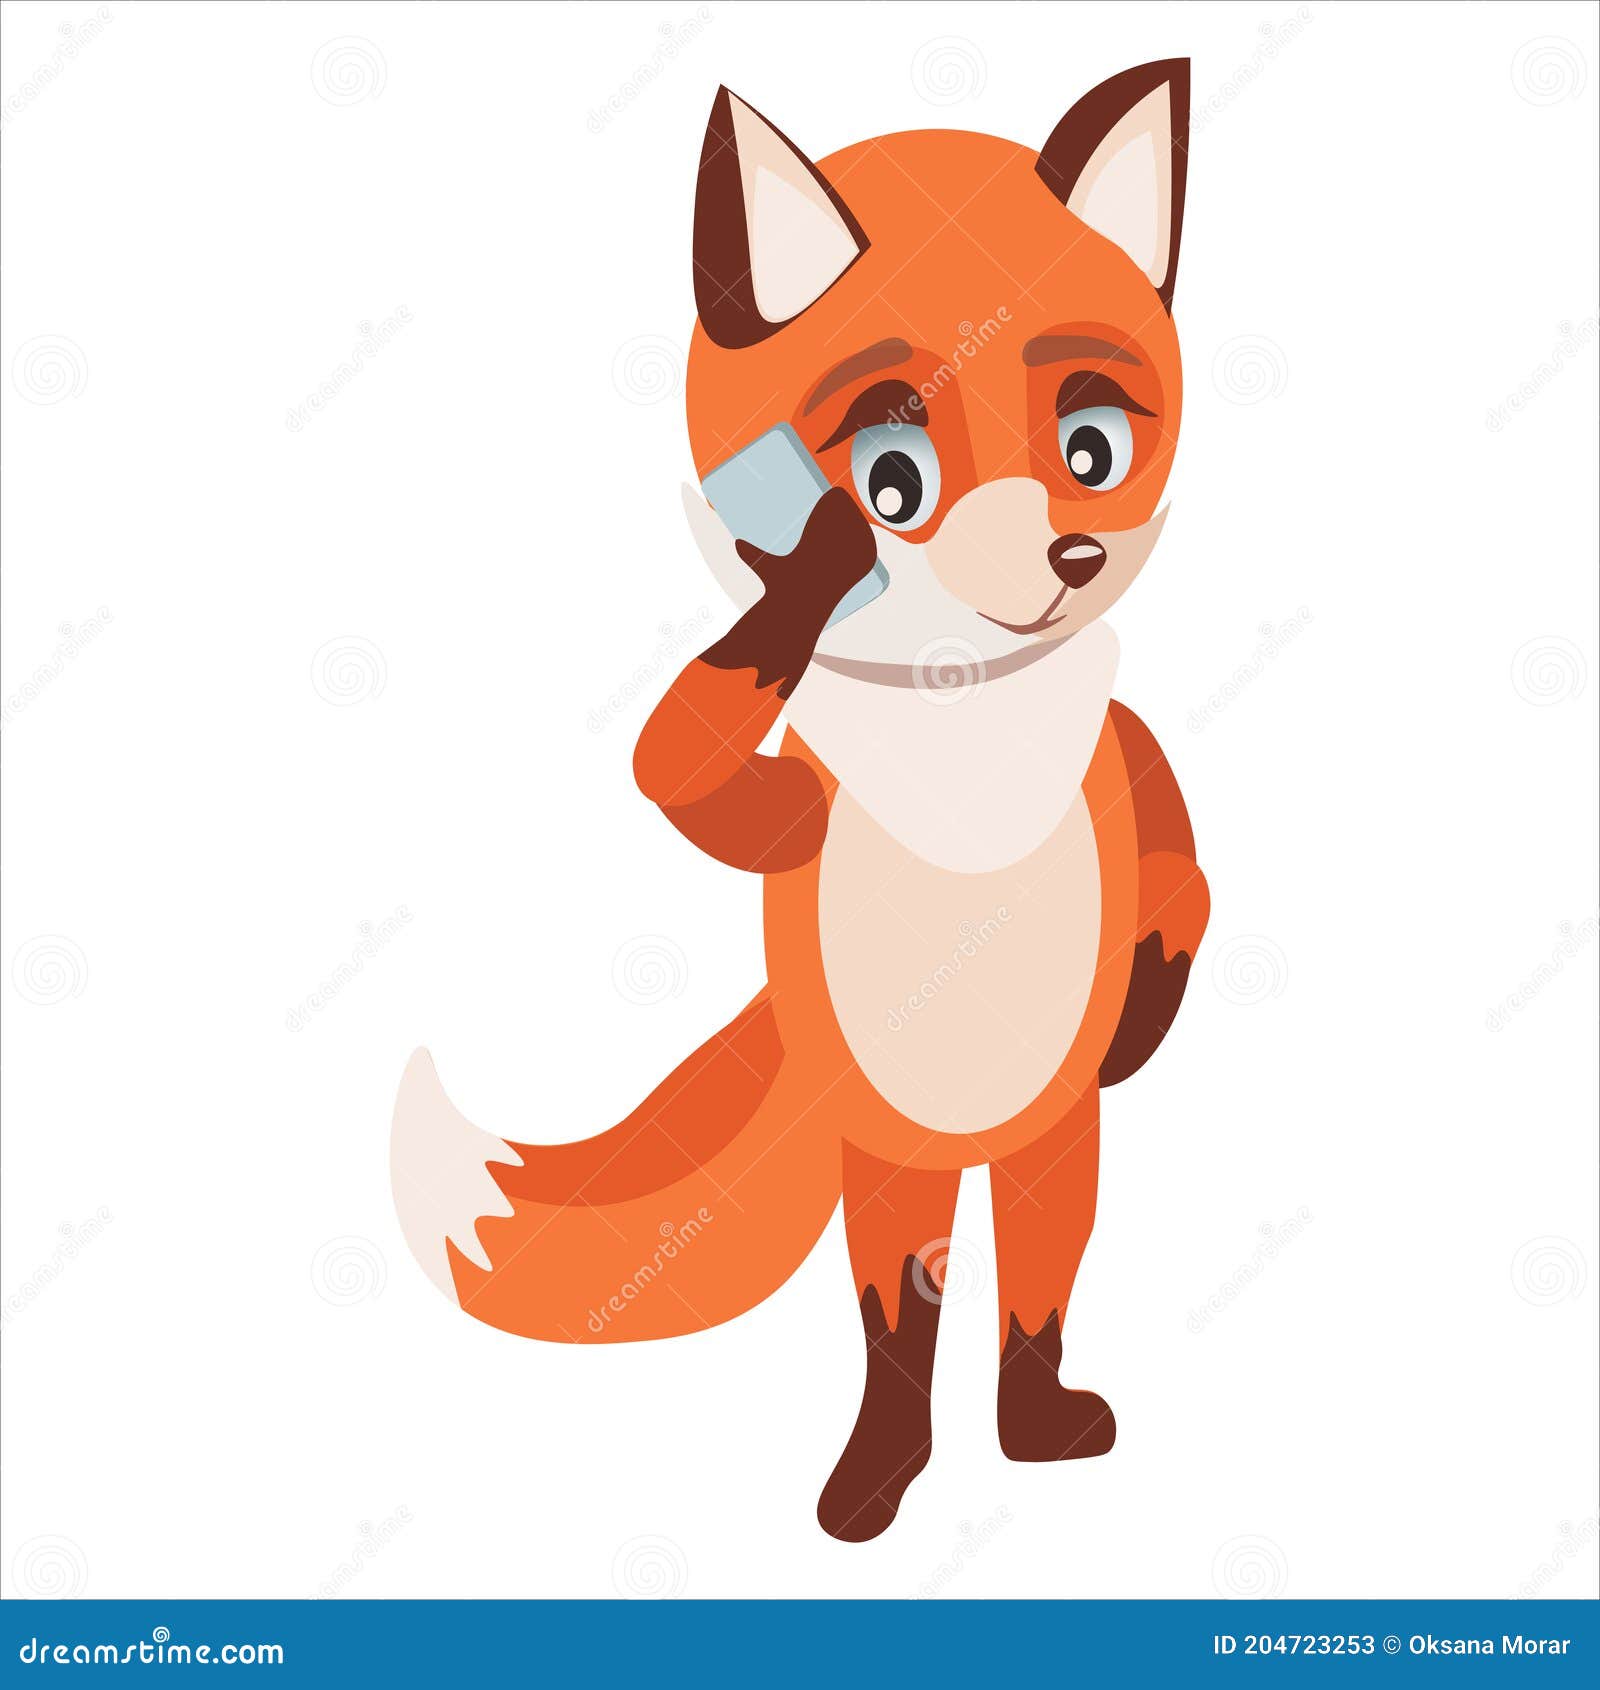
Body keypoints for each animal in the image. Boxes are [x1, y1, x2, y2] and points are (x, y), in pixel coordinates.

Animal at [392, 60, 1210, 1543]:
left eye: (1092, 447)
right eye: (892, 478)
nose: (1067, 556)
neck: (970, 743)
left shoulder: (1126, 760)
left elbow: (1184, 864)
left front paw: (1156, 986)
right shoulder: (798, 807)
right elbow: (681, 771)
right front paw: (813, 567)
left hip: (1052, 1135)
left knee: (1041, 1260)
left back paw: (1039, 1422)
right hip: (887, 1152)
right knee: (903, 1295)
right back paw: (880, 1474)